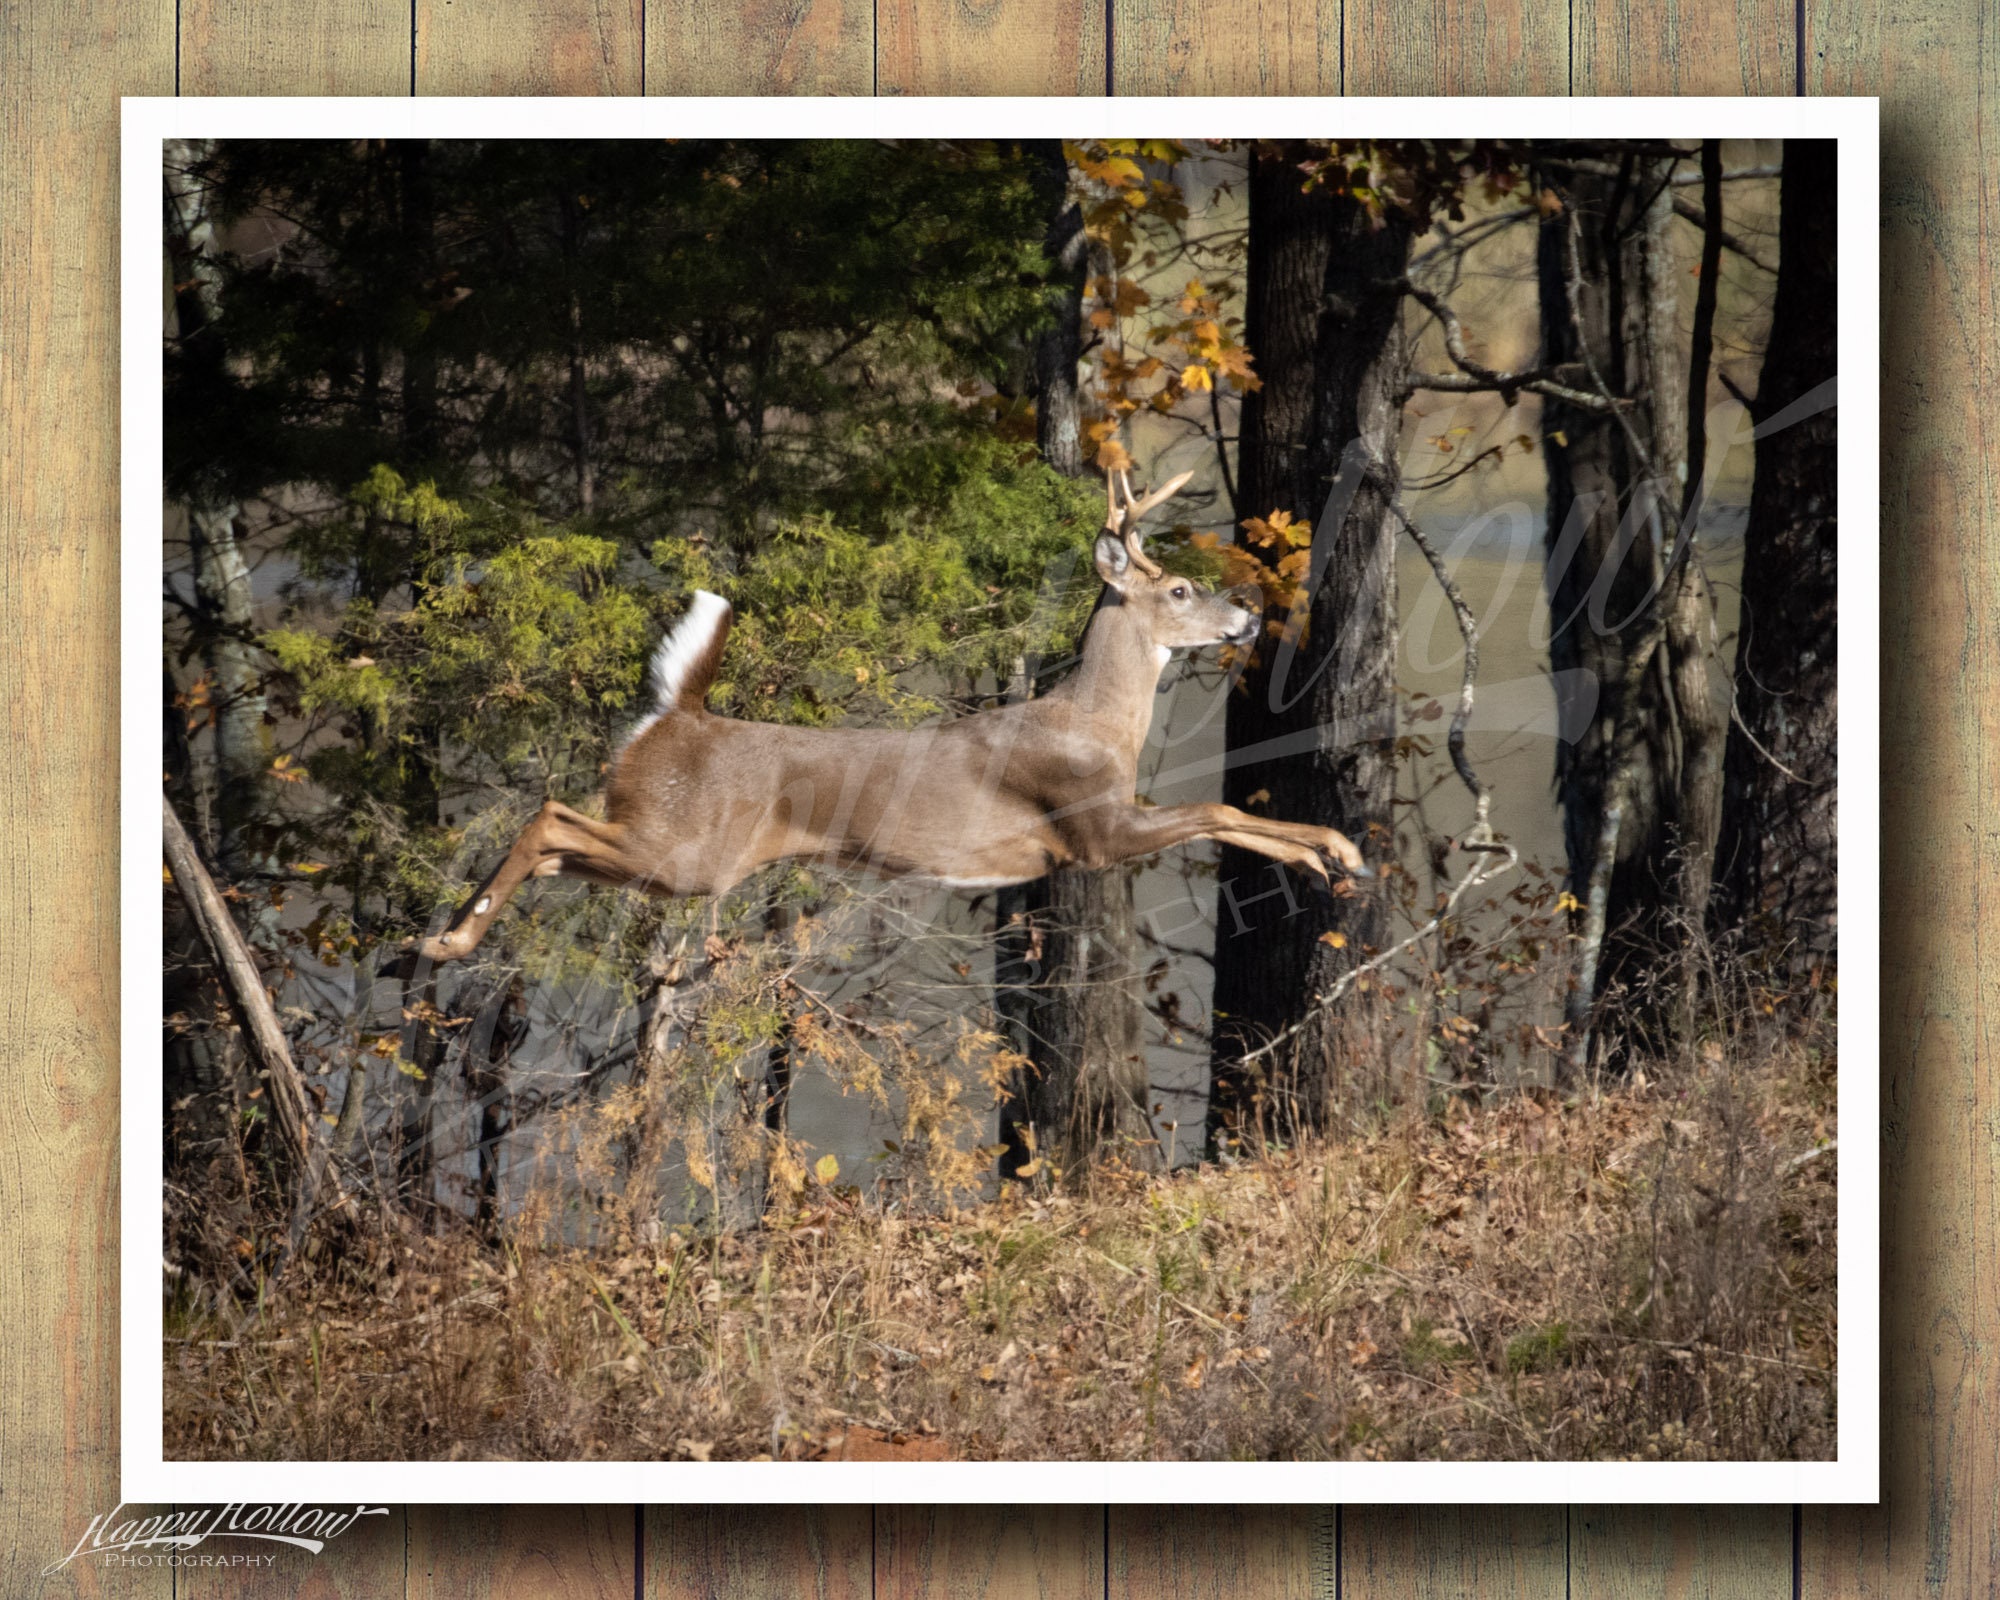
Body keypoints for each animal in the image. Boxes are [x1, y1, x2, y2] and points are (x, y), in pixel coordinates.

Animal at [412, 470, 1369, 965]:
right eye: (1177, 590)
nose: (1245, 613)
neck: (1095, 726)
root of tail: (673, 719)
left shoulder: (1094, 834)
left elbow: (1226, 814)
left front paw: (1334, 863)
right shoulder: (1089, 829)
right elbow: (1217, 806)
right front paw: (1339, 850)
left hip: (667, 851)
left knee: (558, 841)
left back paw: (443, 932)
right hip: (689, 848)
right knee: (548, 815)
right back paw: (446, 942)